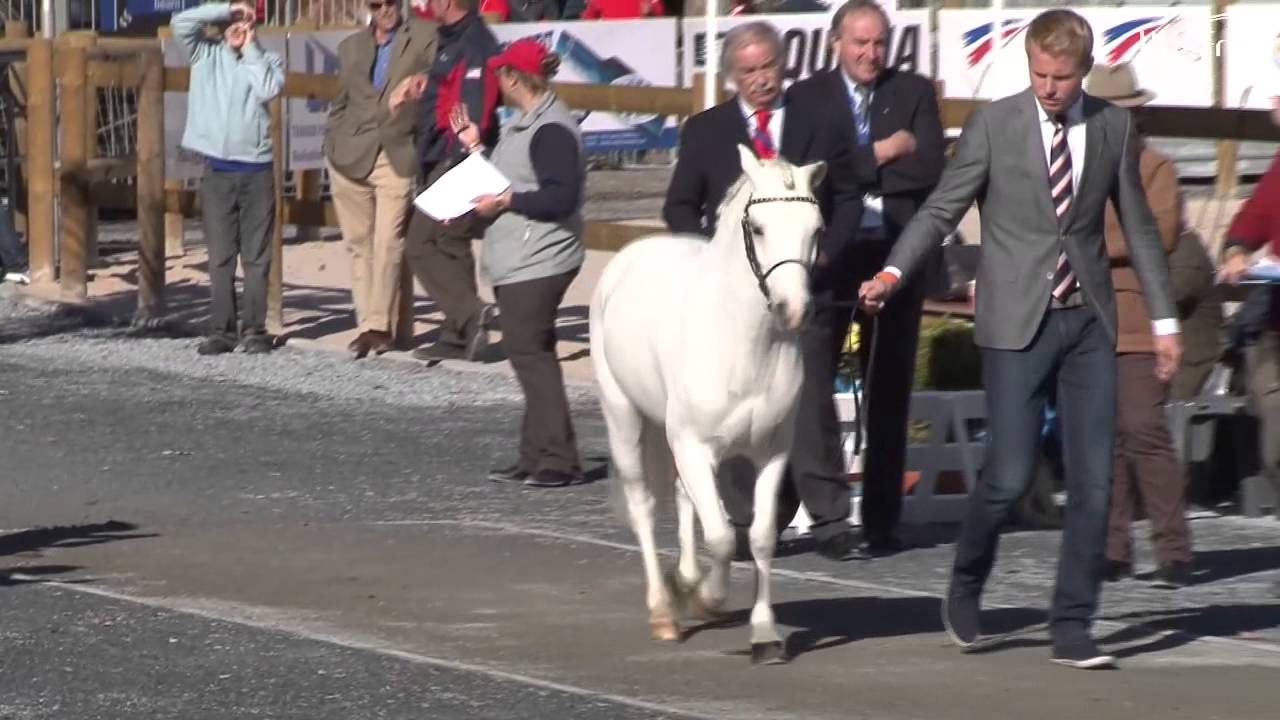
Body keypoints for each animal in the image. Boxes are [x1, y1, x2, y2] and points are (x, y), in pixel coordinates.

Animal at [589, 146, 826, 665]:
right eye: (759, 227)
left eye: (816, 228)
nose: (794, 311)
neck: (744, 343)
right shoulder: (695, 446)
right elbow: (720, 536)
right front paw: (707, 599)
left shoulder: (772, 451)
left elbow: (759, 536)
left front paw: (764, 635)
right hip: (625, 417)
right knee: (644, 505)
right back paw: (665, 609)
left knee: (683, 498)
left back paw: (685, 580)